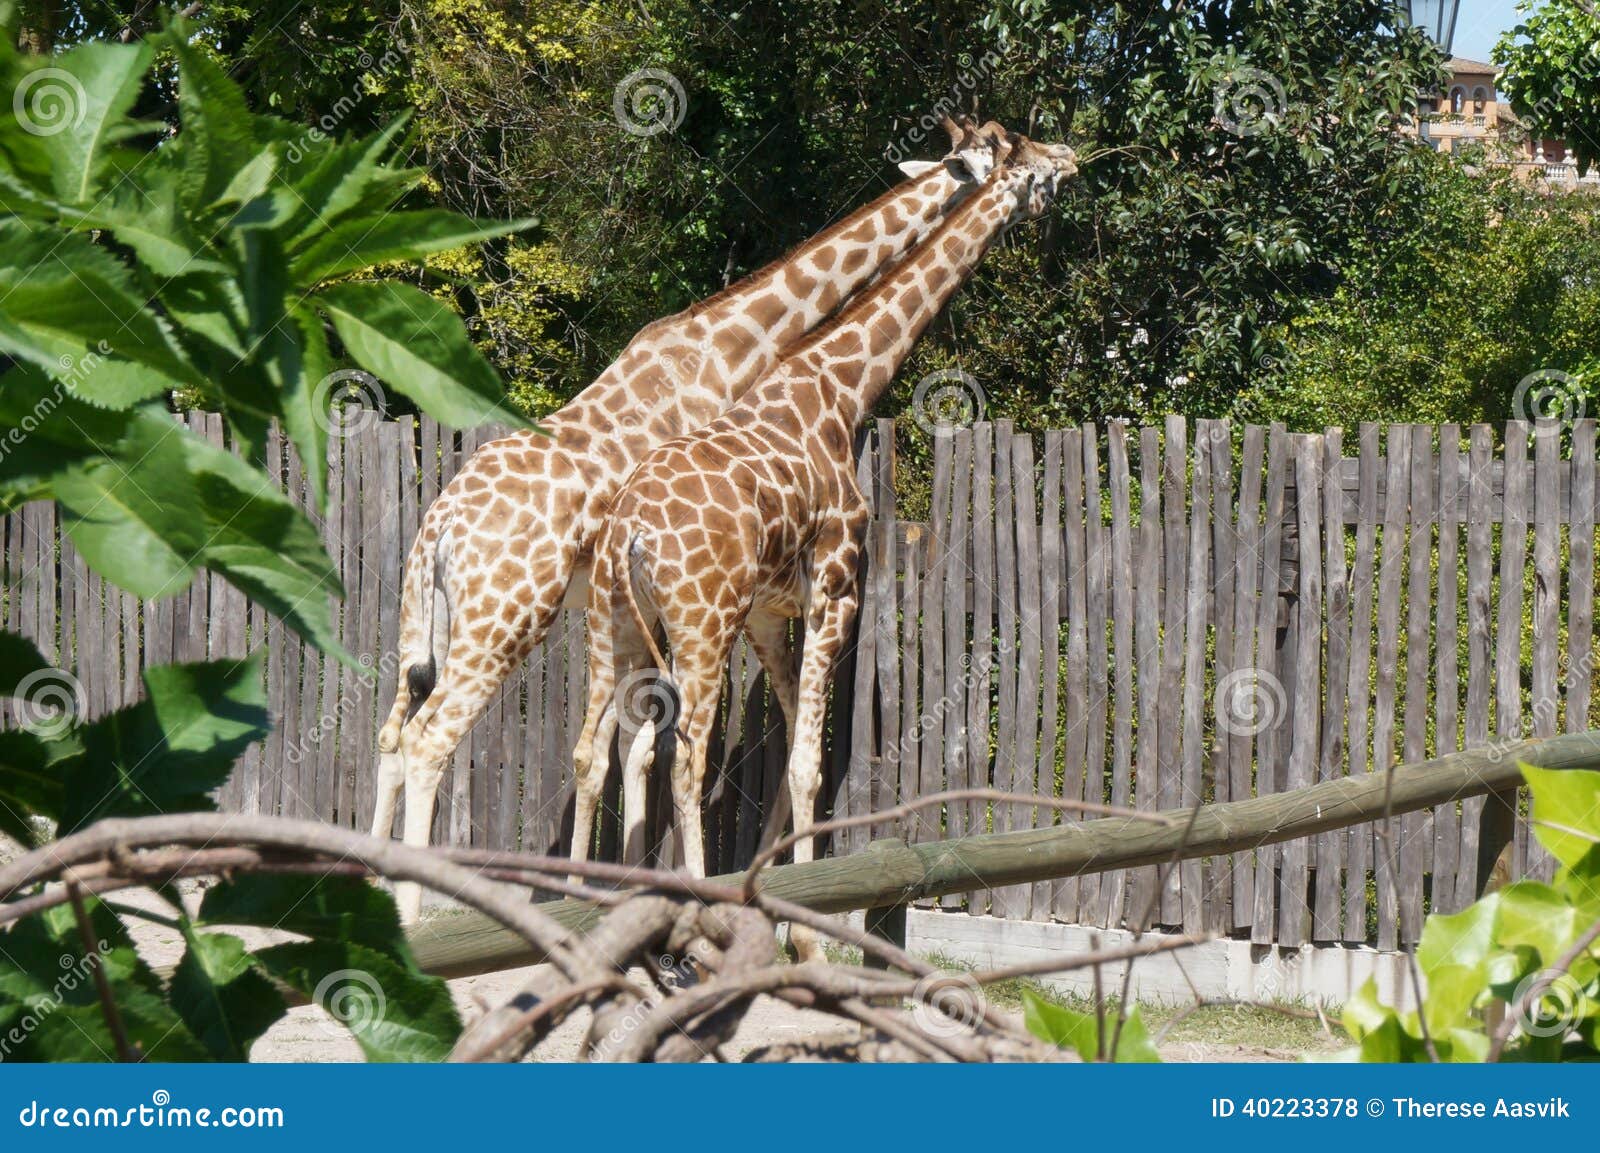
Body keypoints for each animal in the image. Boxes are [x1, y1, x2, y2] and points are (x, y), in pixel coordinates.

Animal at [373, 116, 1009, 920]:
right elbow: (654, 743)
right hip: (505, 618)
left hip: (427, 620)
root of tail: (439, 528)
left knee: (392, 733)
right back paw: (409, 906)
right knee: (430, 739)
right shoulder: (703, 596)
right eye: (979, 162)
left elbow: (616, 746)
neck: (735, 344)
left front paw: (611, 883)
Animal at [574, 129, 1078, 959]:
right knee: (683, 753)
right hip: (698, 623)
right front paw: (804, 929)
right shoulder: (837, 588)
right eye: (1031, 165)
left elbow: (785, 759)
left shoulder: (771, 611)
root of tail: (631, 534)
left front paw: (779, 902)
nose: (1071, 156)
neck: (840, 389)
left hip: (614, 622)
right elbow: (809, 762)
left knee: (597, 749)